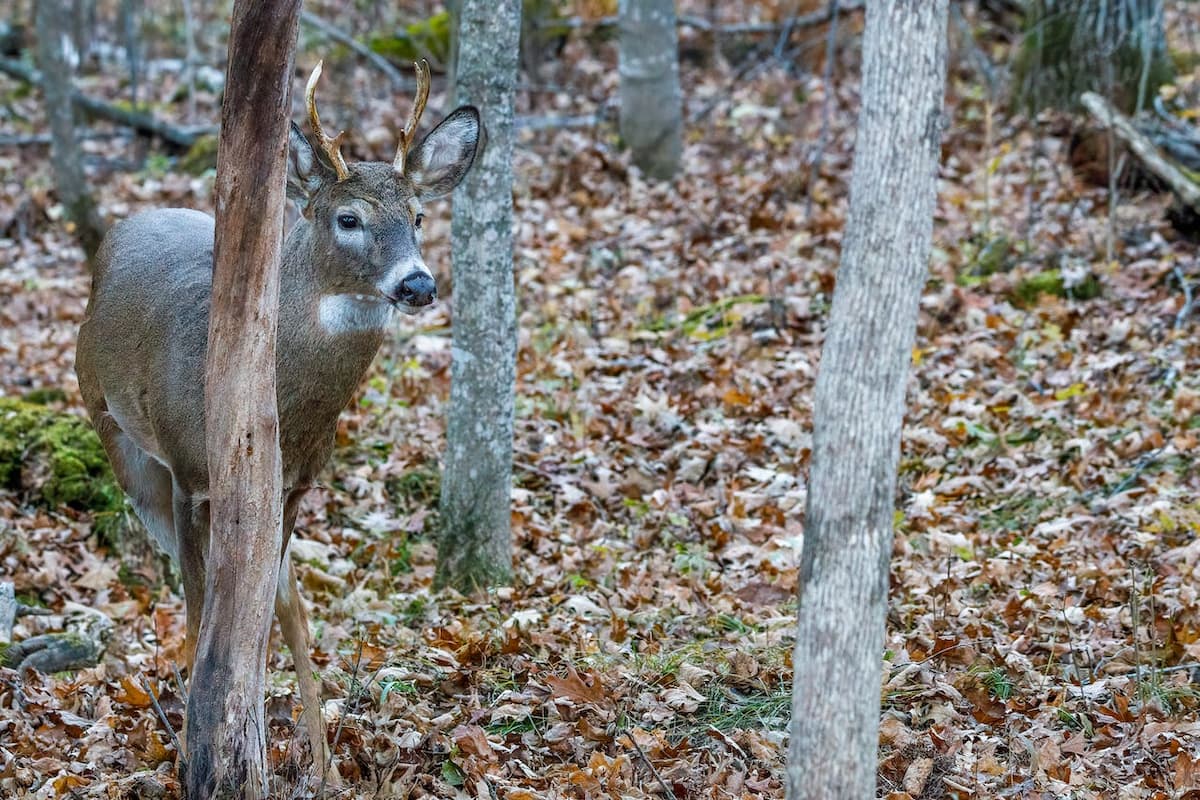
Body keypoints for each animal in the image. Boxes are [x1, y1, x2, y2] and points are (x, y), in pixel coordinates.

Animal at [75, 60, 480, 780]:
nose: (418, 284)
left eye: (419, 215)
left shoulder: (293, 488)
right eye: (348, 217)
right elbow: (201, 609)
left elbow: (277, 611)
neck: (284, 416)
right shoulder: (190, 475)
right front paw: (199, 754)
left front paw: (315, 764)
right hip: (116, 431)